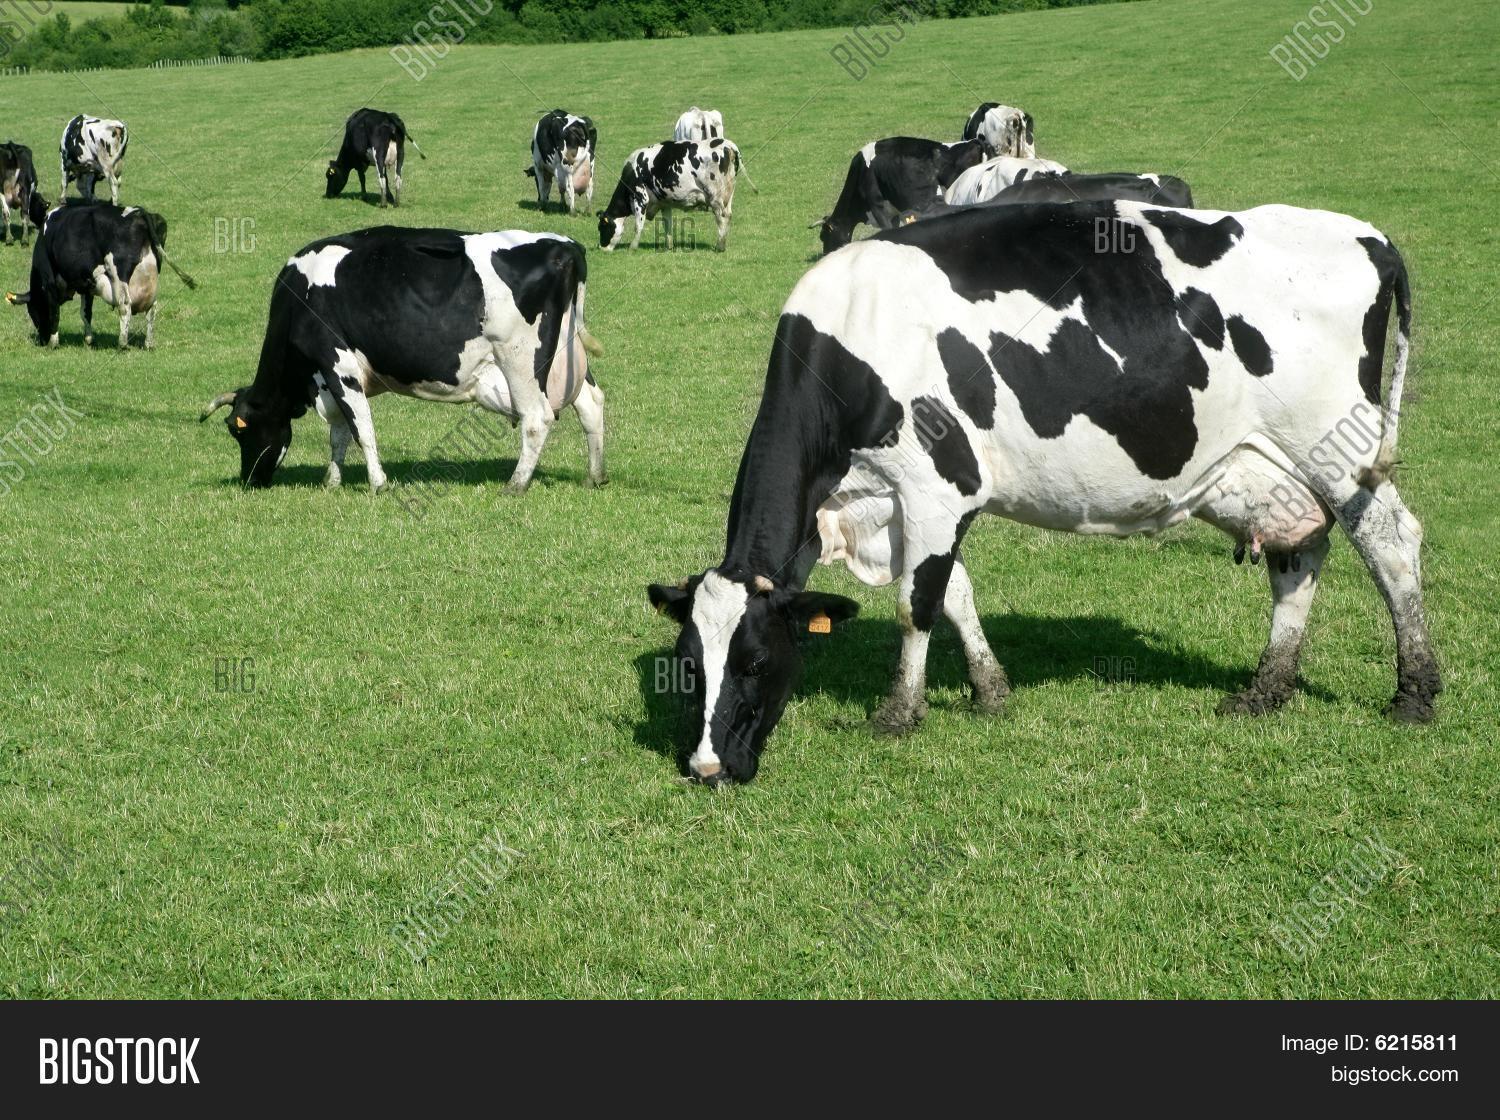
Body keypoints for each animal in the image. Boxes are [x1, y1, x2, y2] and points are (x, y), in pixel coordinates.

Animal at [5, 199, 195, 349]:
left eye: (32, 310)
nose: (42, 340)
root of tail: (139, 213)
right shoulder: (86, 283)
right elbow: (85, 312)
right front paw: (89, 340)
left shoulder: (49, 280)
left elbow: (55, 312)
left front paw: (54, 342)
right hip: (151, 275)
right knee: (152, 308)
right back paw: (148, 343)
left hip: (119, 272)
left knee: (125, 305)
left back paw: (122, 343)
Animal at [199, 227, 605, 494]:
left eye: (238, 430)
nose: (249, 481)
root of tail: (564, 247)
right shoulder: (331, 379)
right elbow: (339, 432)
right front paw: (332, 481)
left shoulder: (339, 366)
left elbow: (360, 428)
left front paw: (378, 484)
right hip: (568, 357)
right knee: (591, 404)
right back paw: (596, 475)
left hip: (519, 360)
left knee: (537, 418)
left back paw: (516, 485)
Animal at [597, 138, 751, 252]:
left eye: (601, 228)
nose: (601, 248)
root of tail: (727, 144)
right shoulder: (664, 203)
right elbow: (667, 224)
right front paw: (669, 246)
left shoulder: (640, 197)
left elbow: (638, 225)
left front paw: (632, 247)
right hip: (728, 196)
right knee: (728, 215)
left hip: (716, 197)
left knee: (722, 218)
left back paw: (720, 246)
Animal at [649, 200, 1438, 785]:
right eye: (688, 665)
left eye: (754, 662)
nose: (707, 767)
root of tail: (1368, 236)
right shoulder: (905, 503)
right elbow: (956, 594)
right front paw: (990, 691)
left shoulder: (937, 486)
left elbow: (916, 605)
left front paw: (899, 714)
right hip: (1276, 471)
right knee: (1299, 556)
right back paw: (1266, 689)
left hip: (1339, 447)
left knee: (1392, 543)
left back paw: (1416, 691)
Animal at [812, 137, 989, 255]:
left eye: (823, 236)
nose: (825, 255)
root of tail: (974, 141)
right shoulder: (894, 213)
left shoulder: (877, 206)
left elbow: (887, 230)